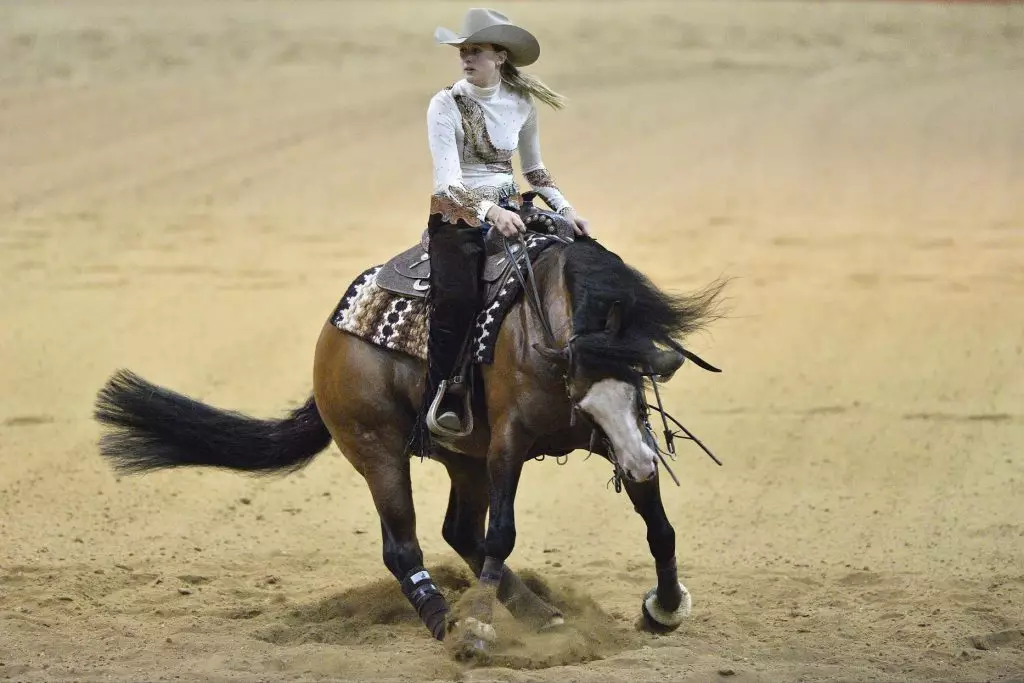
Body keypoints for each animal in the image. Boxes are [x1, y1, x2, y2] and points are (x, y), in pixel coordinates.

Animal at [94, 232, 720, 659]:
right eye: (586, 397)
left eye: (640, 389)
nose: (639, 460)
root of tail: (332, 333)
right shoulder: (510, 443)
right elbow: (504, 532)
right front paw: (478, 631)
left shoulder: (606, 436)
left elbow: (657, 521)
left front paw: (665, 607)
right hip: (380, 454)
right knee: (405, 547)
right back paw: (451, 625)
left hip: (464, 460)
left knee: (459, 532)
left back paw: (540, 615)